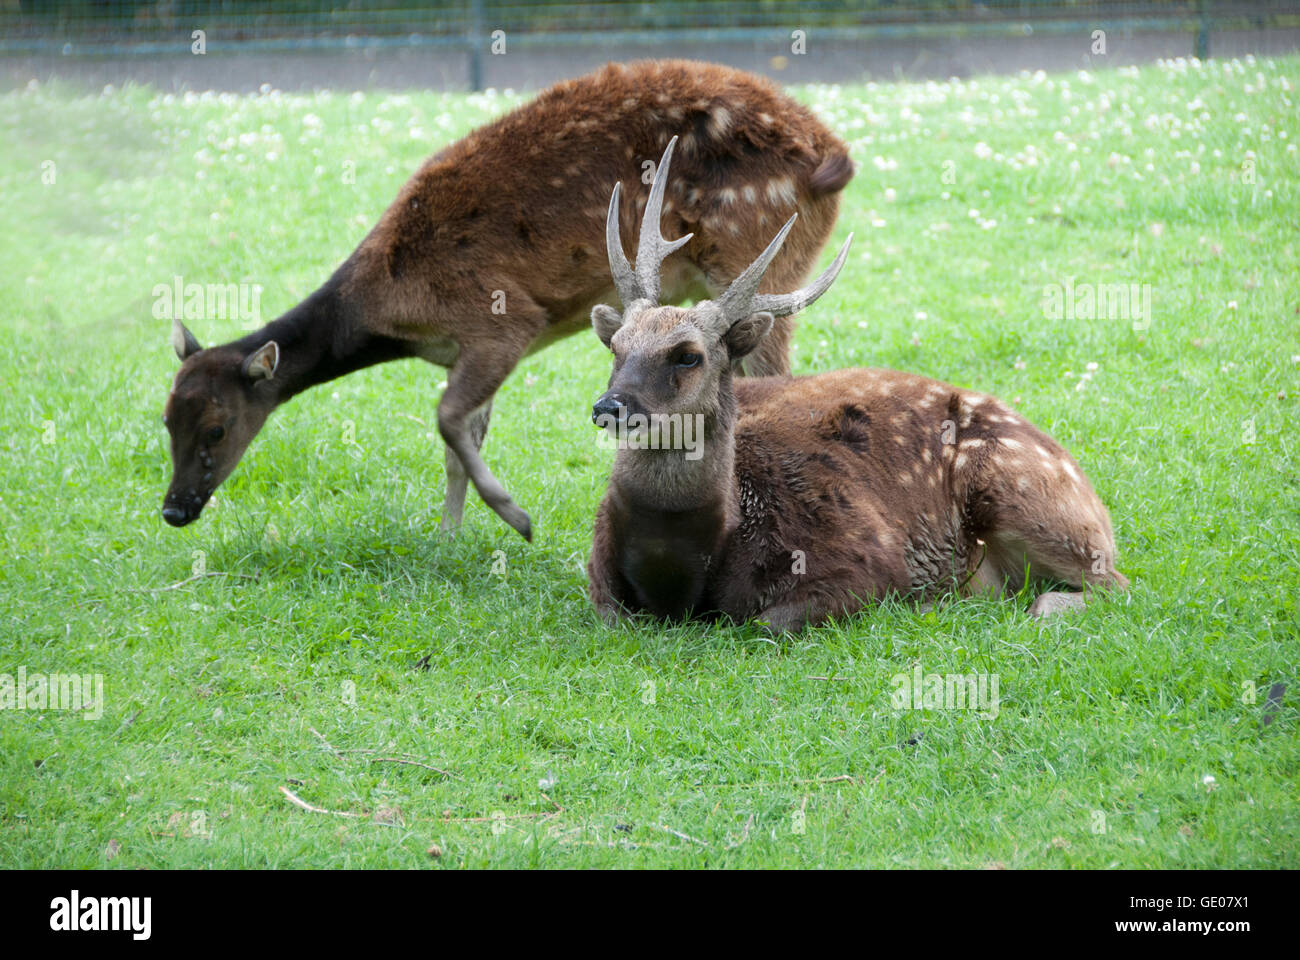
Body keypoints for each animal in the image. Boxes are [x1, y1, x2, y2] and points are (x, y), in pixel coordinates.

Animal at [160, 59, 854, 540]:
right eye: (166, 420)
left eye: (217, 427)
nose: (172, 509)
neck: (387, 308)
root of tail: (834, 159)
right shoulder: (464, 351)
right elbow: (459, 441)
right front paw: (448, 537)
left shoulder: (501, 321)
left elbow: (445, 418)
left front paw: (514, 518)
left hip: (758, 257)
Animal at [586, 145, 1129, 631]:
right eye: (616, 346)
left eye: (688, 355)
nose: (610, 407)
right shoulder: (597, 580)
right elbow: (611, 616)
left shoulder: (863, 557)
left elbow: (767, 622)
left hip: (1022, 493)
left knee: (1109, 586)